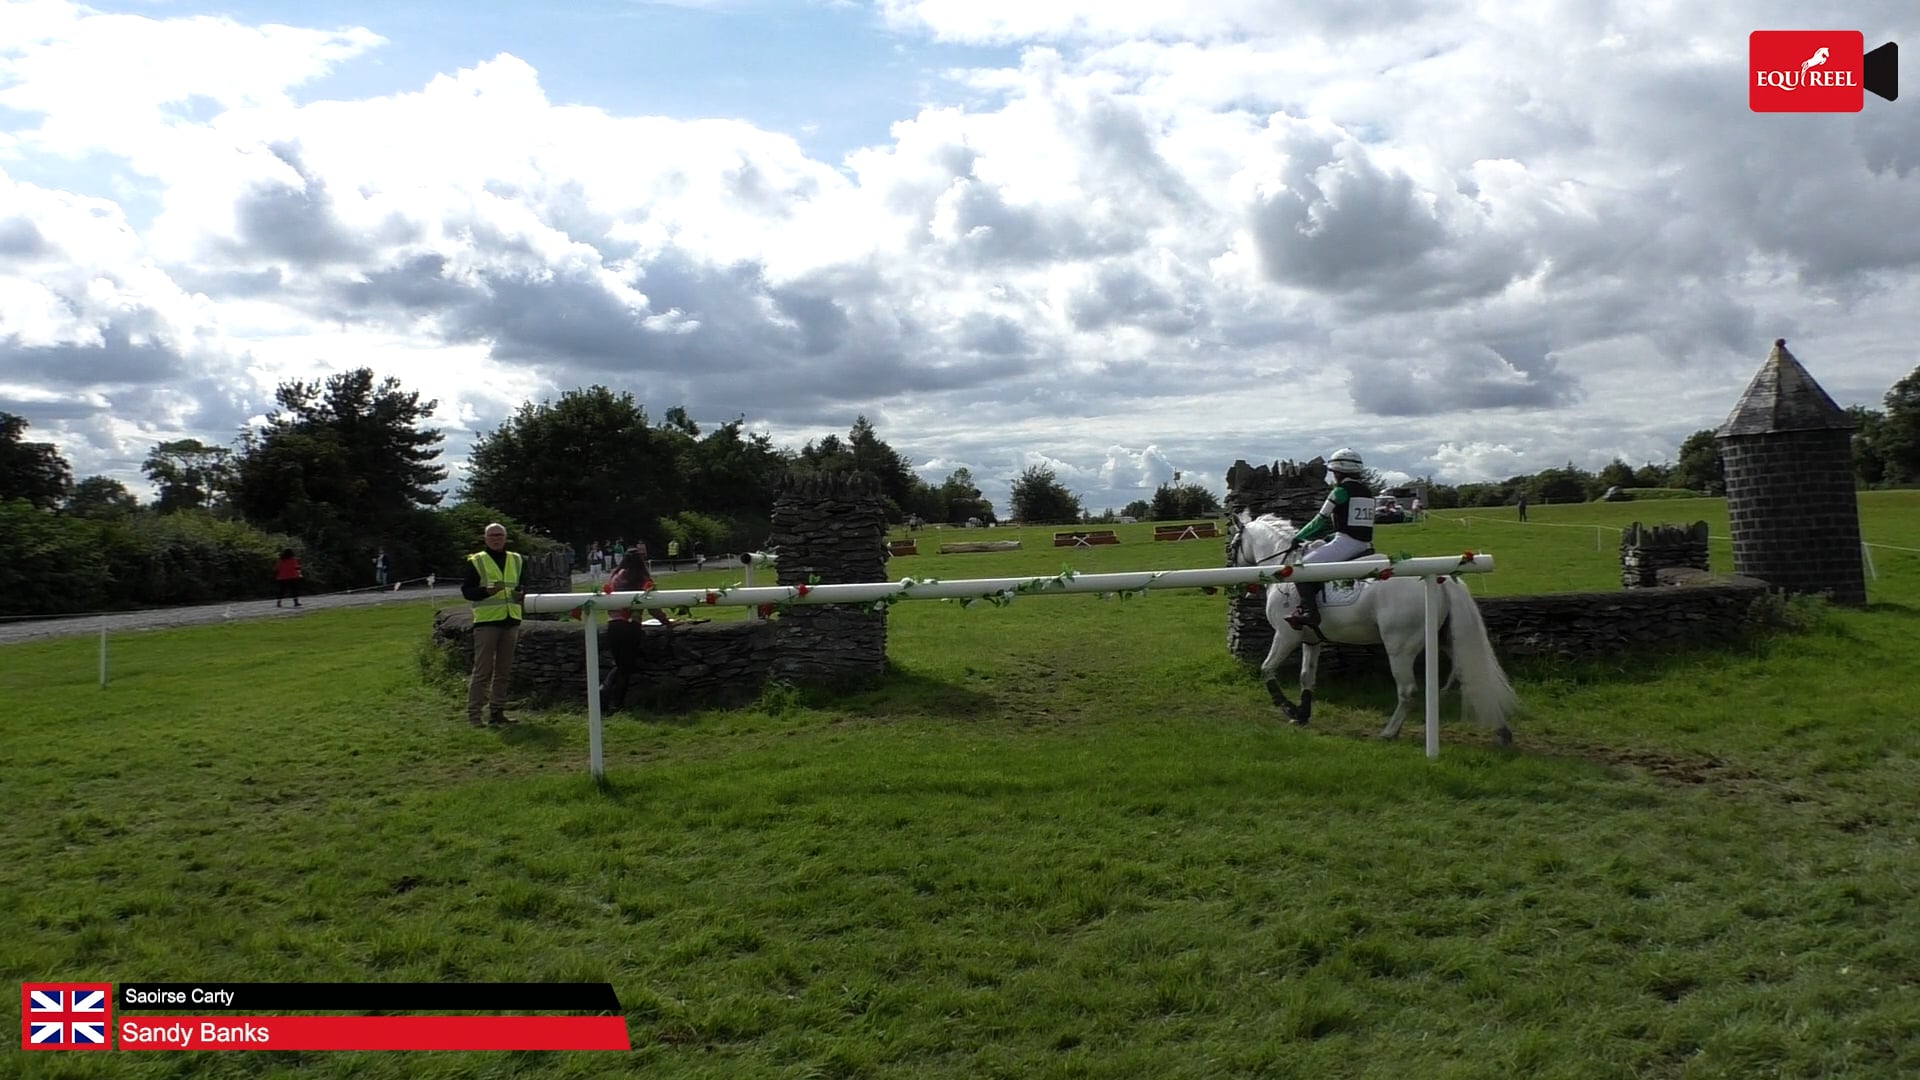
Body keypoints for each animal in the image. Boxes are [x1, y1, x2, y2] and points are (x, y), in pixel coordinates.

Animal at [1225, 511, 1518, 745]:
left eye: (1231, 547)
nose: (1232, 578)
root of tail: (1442, 579)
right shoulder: (1312, 640)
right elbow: (1306, 677)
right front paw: (1302, 714)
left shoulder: (1286, 636)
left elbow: (1267, 669)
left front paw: (1287, 708)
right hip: (1447, 639)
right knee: (1473, 675)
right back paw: (1502, 731)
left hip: (1399, 647)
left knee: (1408, 690)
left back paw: (1388, 732)